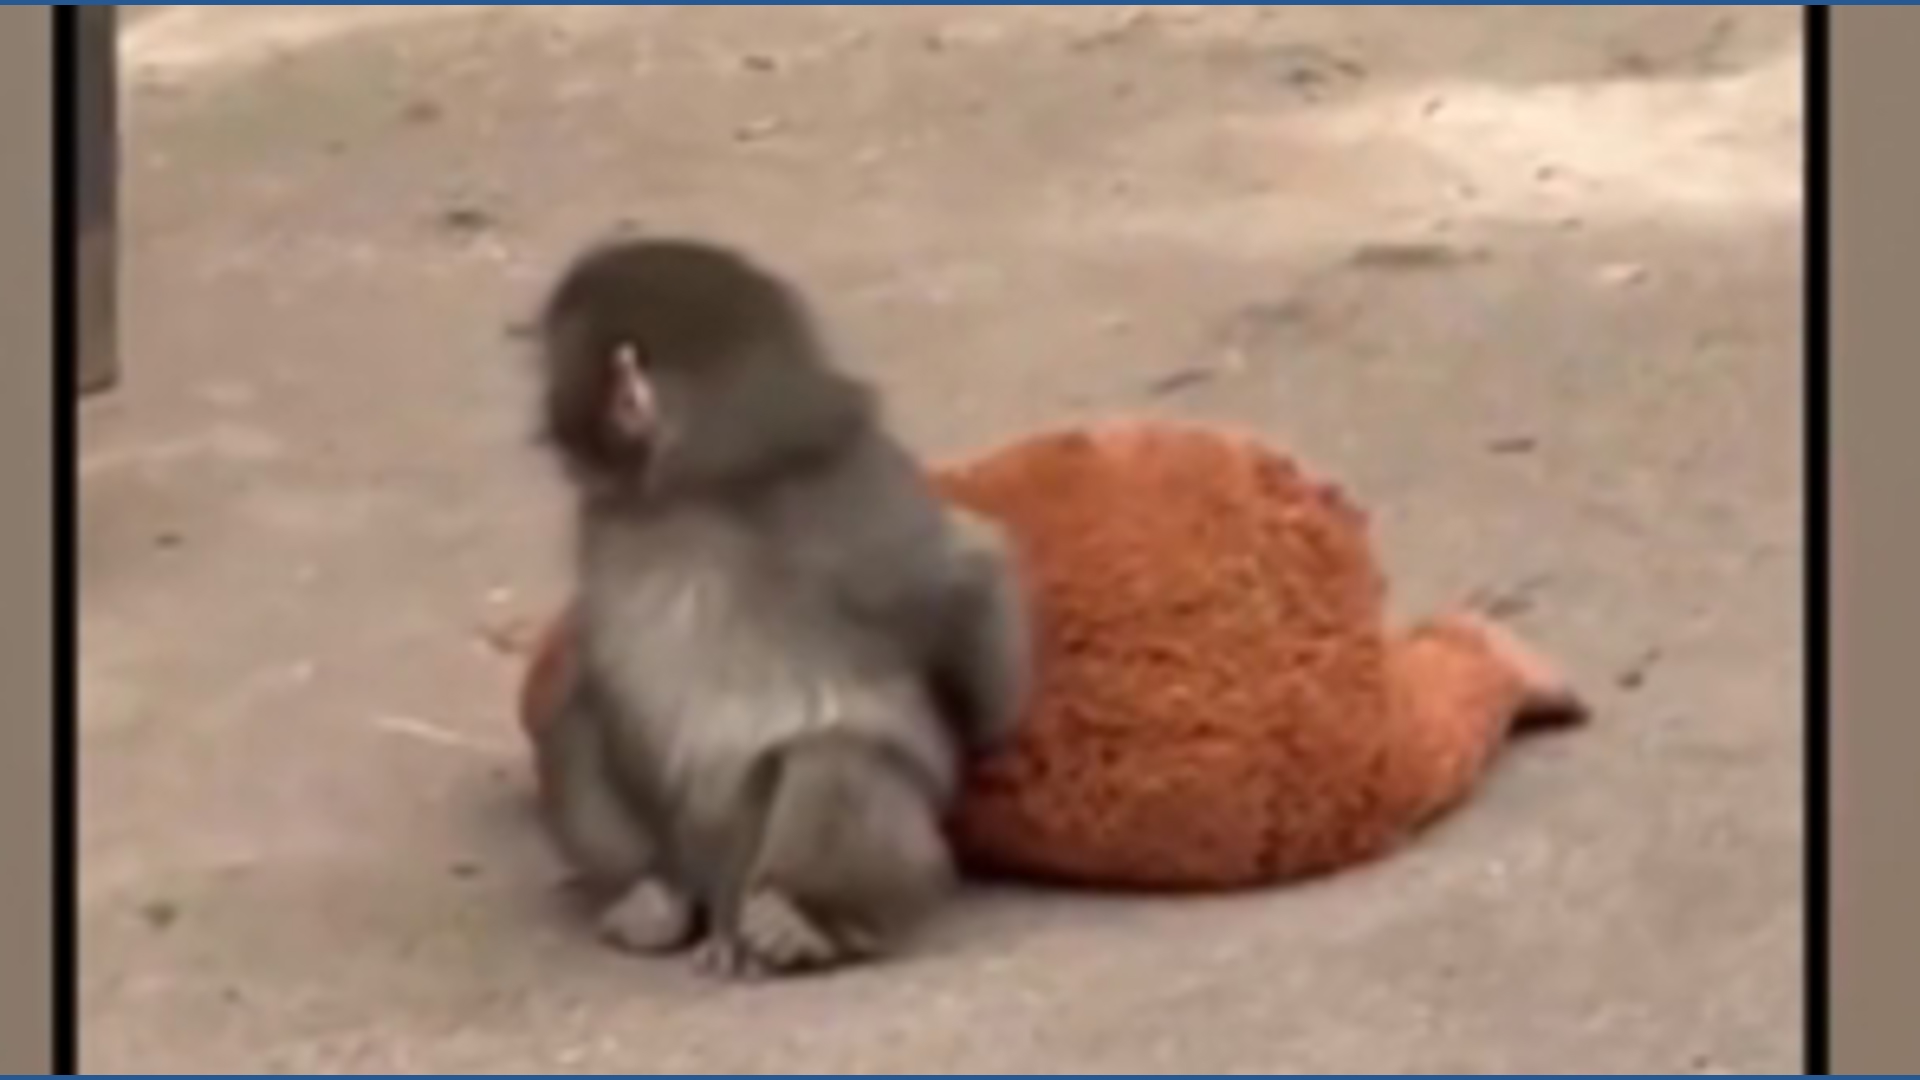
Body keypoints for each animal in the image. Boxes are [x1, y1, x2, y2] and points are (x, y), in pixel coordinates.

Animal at [527, 237, 1032, 978]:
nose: (543, 415)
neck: (707, 473)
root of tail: (721, 884)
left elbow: (970, 579)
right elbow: (973, 584)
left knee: (827, 758)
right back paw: (717, 903)